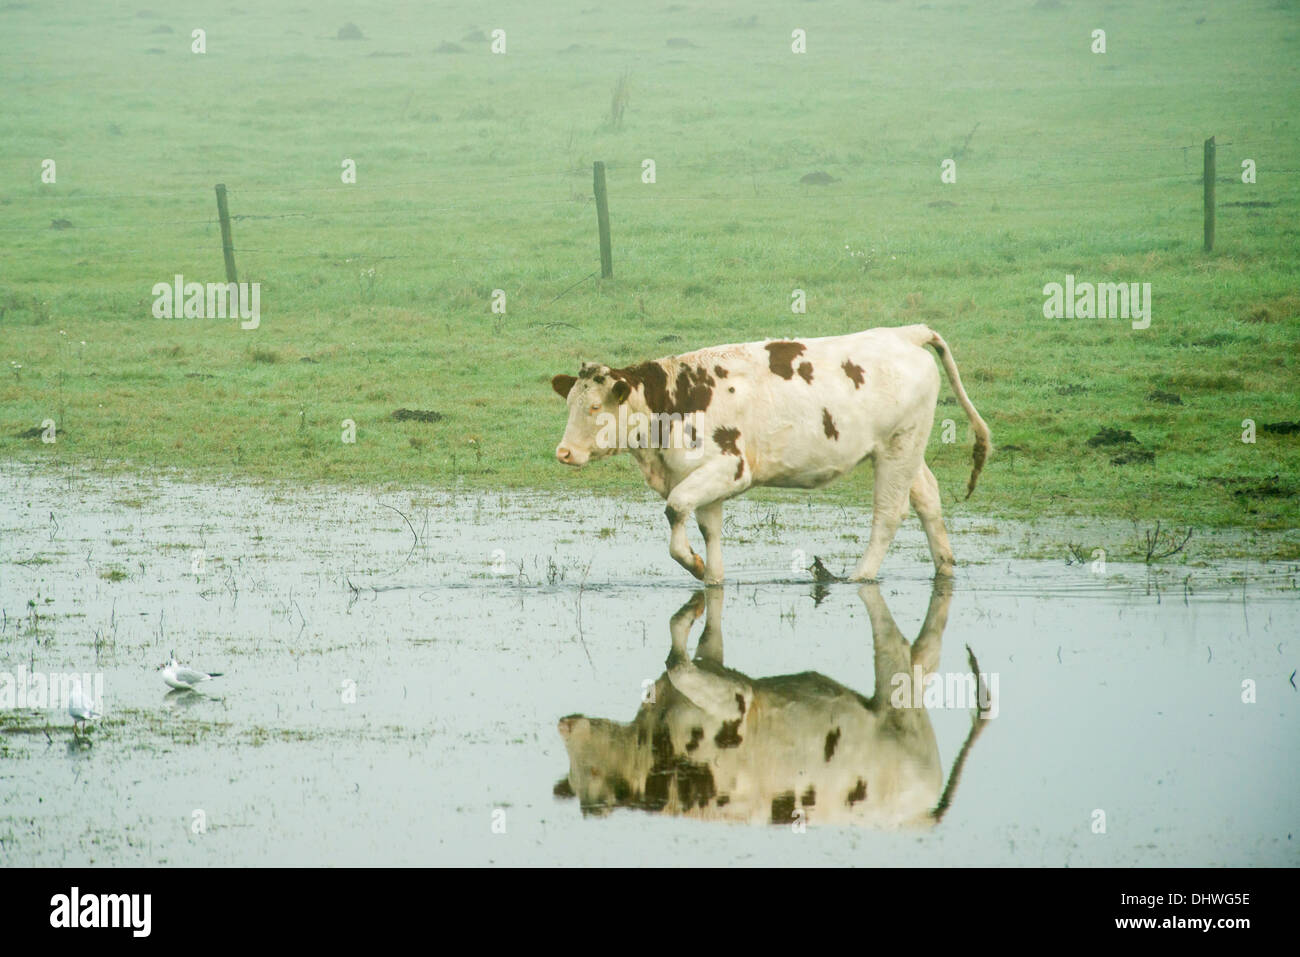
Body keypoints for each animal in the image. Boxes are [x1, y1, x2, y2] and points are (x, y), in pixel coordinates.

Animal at [550, 323, 990, 583]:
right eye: (569, 402)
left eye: (595, 407)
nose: (564, 452)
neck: (674, 399)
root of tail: (903, 333)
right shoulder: (699, 476)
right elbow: (708, 530)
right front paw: (711, 576)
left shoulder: (730, 467)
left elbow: (675, 509)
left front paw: (692, 563)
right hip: (906, 447)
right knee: (927, 498)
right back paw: (945, 566)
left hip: (899, 446)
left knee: (888, 512)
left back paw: (860, 576)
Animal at [553, 583, 991, 827]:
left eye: (592, 770)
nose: (564, 725)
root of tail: (922, 815)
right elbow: (677, 653)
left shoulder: (732, 699)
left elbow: (676, 661)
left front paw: (695, 603)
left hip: (900, 702)